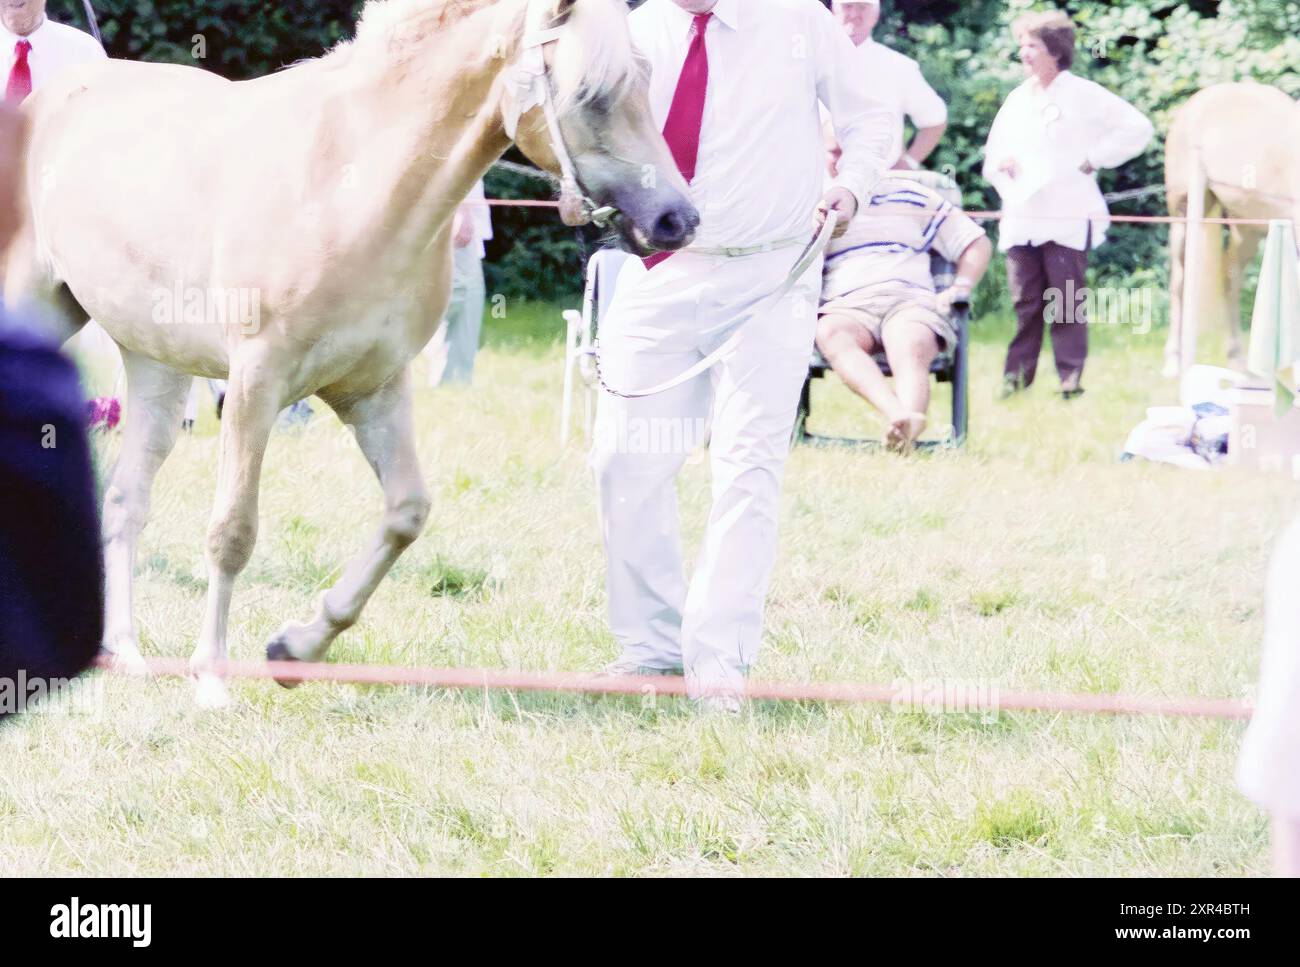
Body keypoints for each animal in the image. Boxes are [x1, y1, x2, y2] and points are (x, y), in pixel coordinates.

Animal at [2, 0, 697, 705]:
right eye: (593, 95)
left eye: (645, 80)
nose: (678, 220)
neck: (348, 183)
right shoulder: (256, 385)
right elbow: (232, 532)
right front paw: (212, 677)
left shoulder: (374, 388)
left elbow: (406, 514)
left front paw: (296, 649)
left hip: (158, 368)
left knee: (125, 500)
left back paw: (124, 652)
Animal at [1163, 82, 1300, 377]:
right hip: (1184, 214)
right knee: (1179, 282)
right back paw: (1173, 361)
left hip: (1246, 229)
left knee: (1230, 279)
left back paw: (1237, 359)